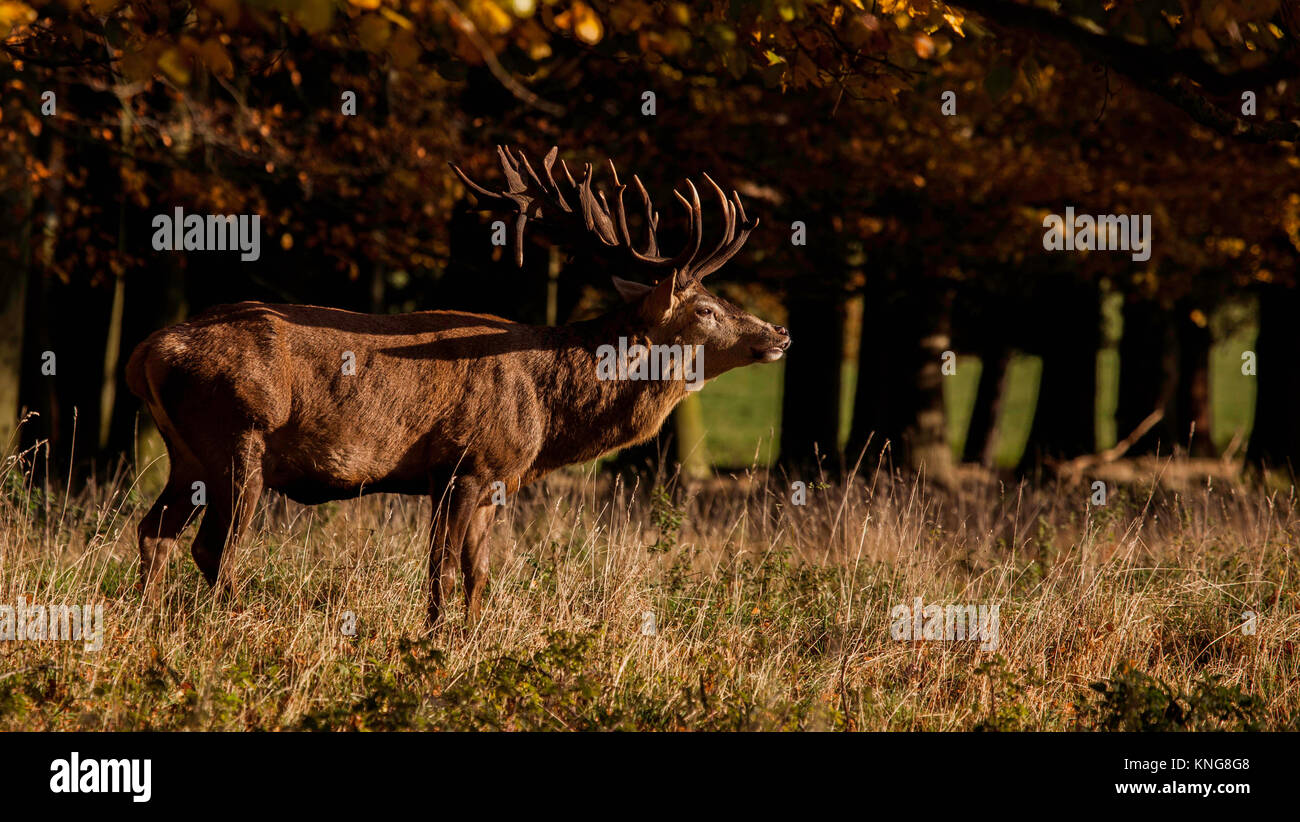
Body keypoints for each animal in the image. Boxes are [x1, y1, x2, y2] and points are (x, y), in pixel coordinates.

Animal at [126, 146, 790, 625]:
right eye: (705, 309)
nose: (780, 332)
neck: (546, 414)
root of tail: (149, 352)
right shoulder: (466, 464)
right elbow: (442, 572)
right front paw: (435, 642)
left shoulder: (496, 479)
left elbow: (478, 574)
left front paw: (471, 639)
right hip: (238, 436)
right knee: (213, 546)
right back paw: (236, 623)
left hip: (188, 454)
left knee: (154, 531)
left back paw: (150, 622)